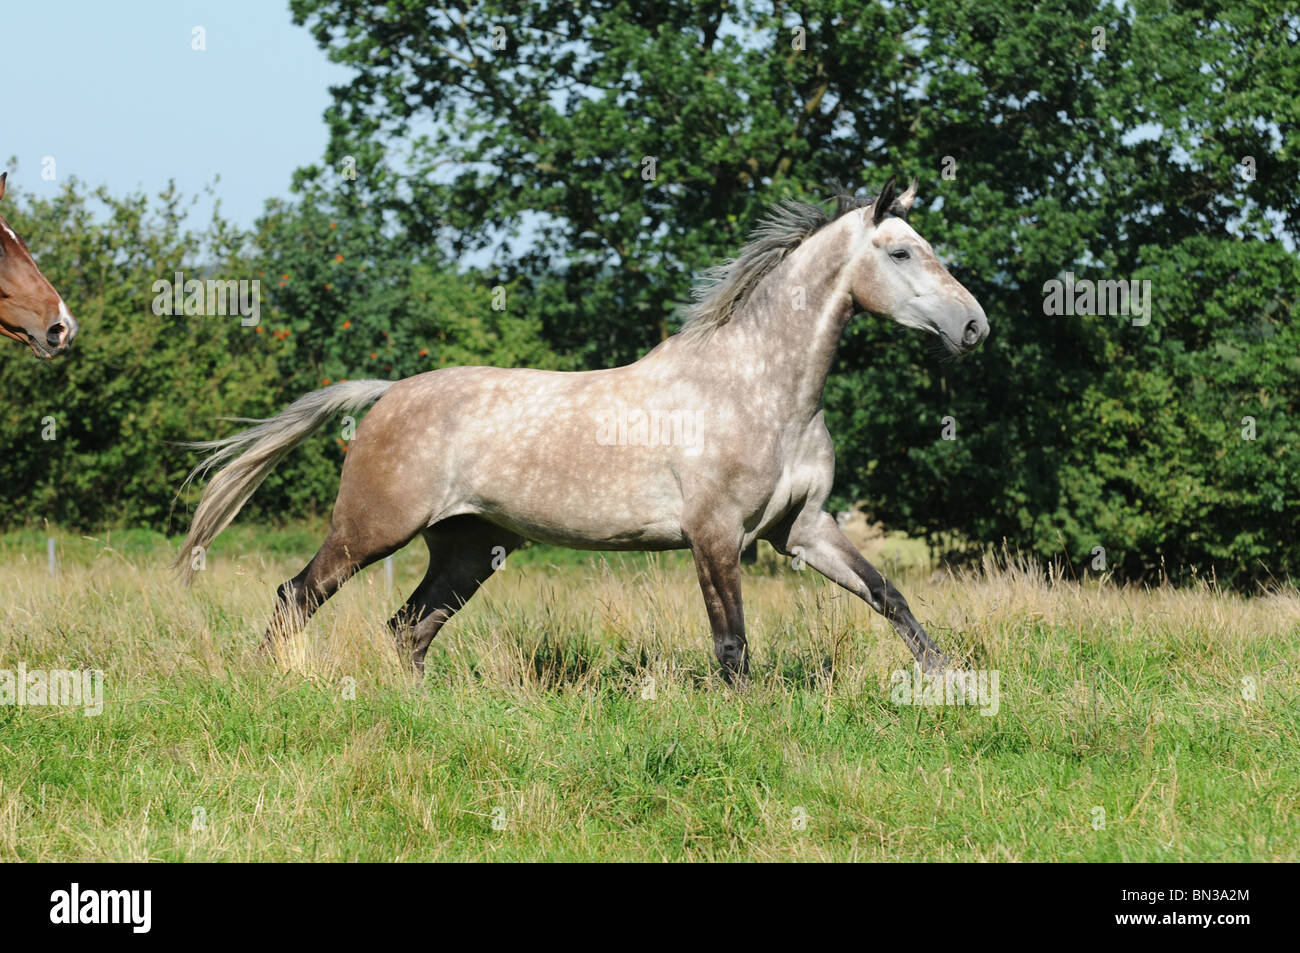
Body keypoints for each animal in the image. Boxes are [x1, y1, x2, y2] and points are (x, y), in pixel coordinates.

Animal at [176, 177, 989, 683]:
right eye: (901, 251)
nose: (975, 327)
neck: (759, 387)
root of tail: (385, 395)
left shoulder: (805, 528)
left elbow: (889, 596)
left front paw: (950, 682)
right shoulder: (715, 533)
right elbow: (732, 644)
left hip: (468, 547)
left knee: (407, 627)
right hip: (370, 530)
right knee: (297, 597)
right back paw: (276, 682)